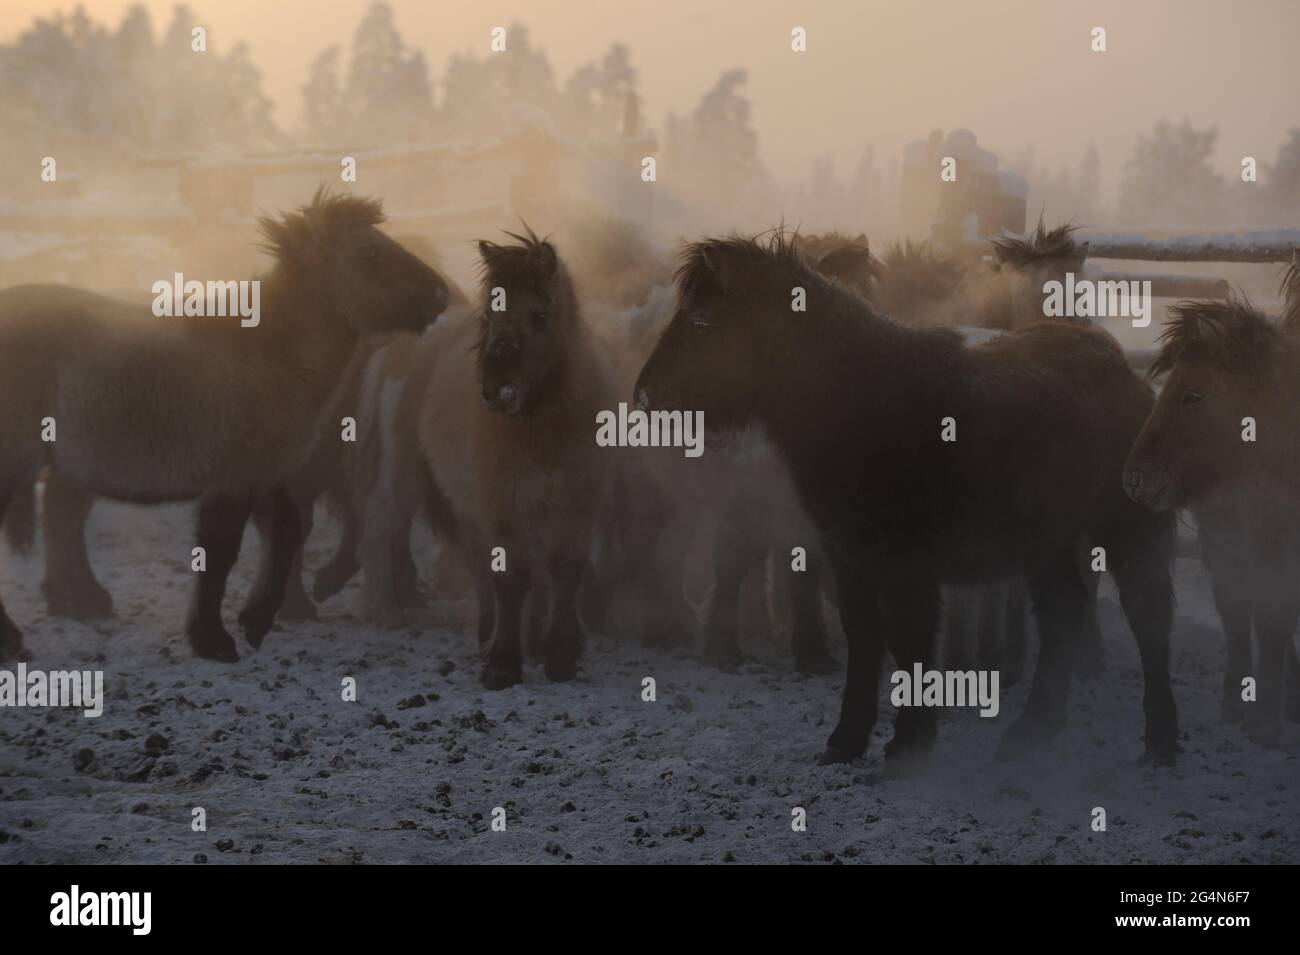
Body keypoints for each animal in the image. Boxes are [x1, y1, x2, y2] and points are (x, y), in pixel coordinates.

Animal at [0, 189, 450, 662]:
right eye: (370, 254)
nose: (440, 294)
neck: (268, 352)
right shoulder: (232, 479)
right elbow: (218, 555)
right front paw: (212, 639)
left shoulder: (262, 472)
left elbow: (285, 531)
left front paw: (256, 620)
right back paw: (19, 636)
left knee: (62, 519)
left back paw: (79, 602)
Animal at [635, 231, 1178, 770]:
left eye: (702, 320)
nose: (645, 395)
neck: (866, 401)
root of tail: (1118, 366)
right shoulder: (850, 558)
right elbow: (866, 638)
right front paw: (847, 739)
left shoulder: (906, 564)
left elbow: (909, 639)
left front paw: (909, 743)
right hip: (1048, 540)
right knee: (1063, 611)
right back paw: (1032, 732)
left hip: (1125, 525)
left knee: (1147, 615)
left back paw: (1160, 740)